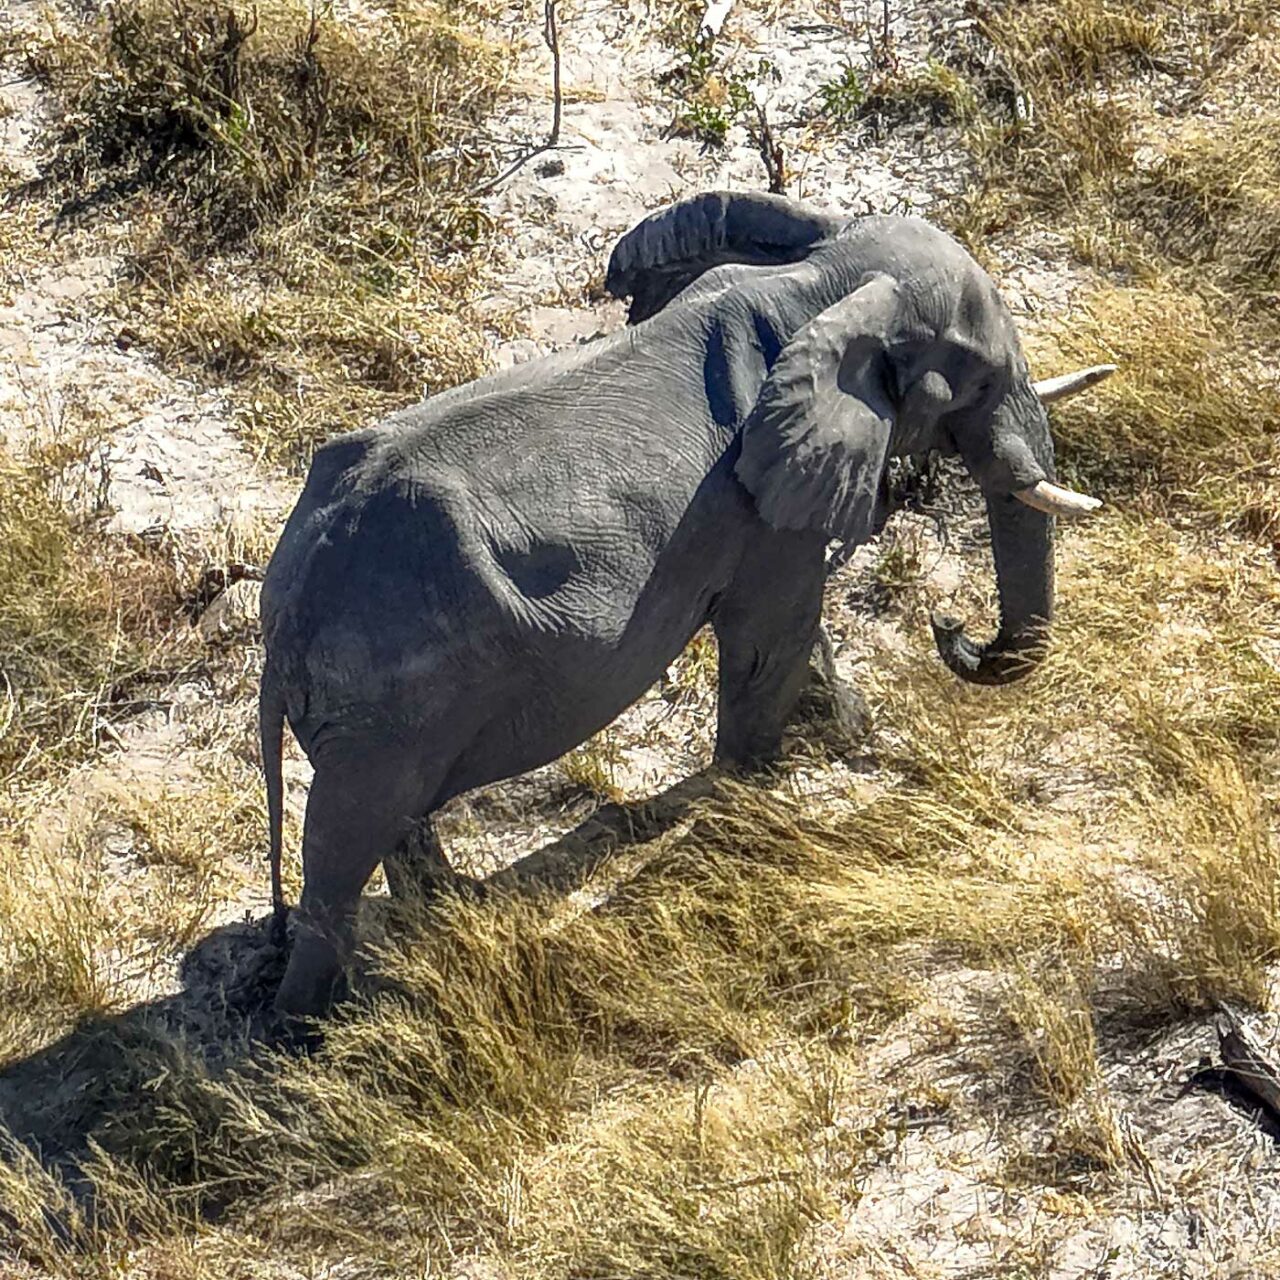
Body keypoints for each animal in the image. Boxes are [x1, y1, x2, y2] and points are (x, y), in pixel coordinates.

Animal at [258, 190, 1112, 1020]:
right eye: (978, 379)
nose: (948, 623)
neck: (823, 279)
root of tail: (284, 615)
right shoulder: (757, 499)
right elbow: (773, 629)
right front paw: (761, 783)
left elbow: (791, 624)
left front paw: (842, 737)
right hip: (387, 708)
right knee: (342, 843)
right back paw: (315, 1029)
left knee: (390, 824)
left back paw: (448, 918)